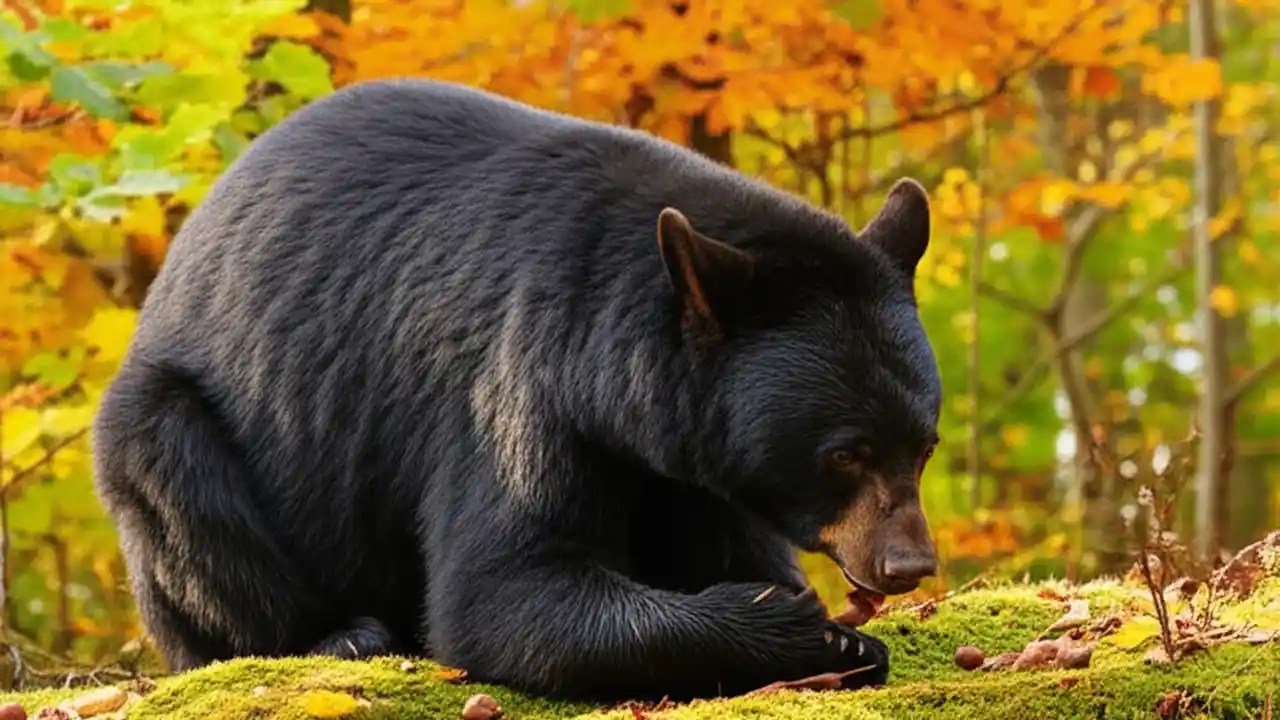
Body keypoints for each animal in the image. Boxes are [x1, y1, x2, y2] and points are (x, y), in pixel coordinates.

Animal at [91, 78, 942, 701]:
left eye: (923, 445)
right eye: (845, 453)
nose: (908, 565)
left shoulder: (689, 453)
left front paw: (841, 631)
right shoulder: (516, 379)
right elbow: (504, 586)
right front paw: (792, 624)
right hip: (165, 436)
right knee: (192, 511)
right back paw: (341, 635)